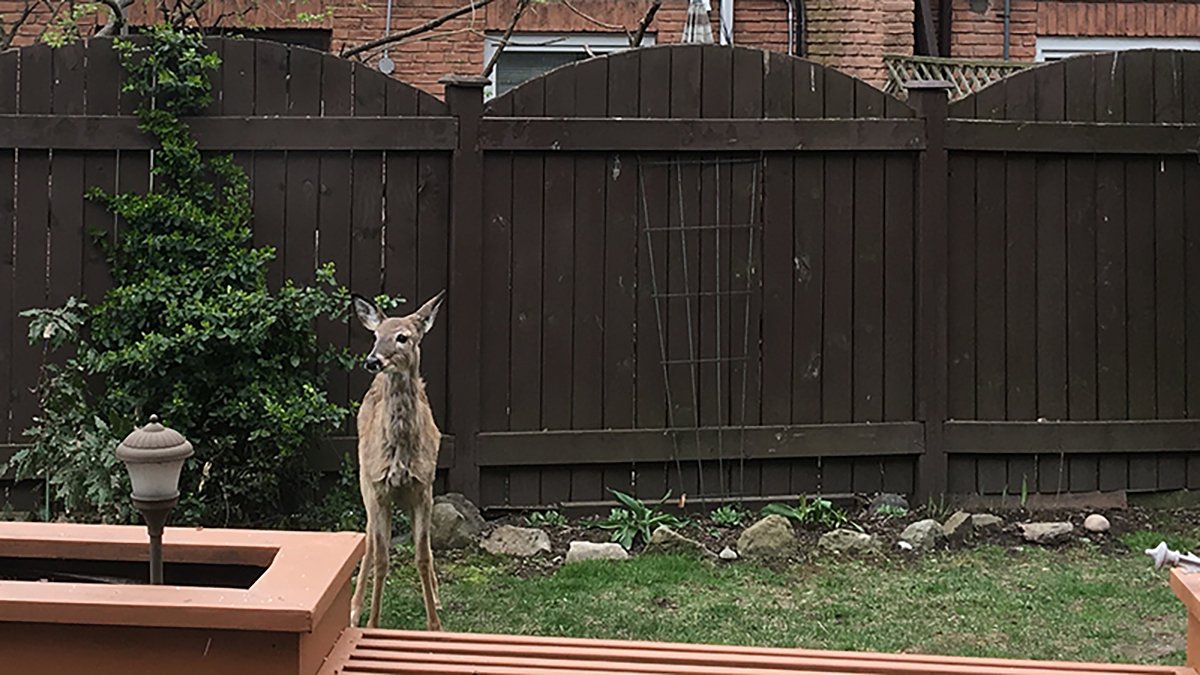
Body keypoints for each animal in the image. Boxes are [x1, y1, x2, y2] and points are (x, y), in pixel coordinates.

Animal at [349, 290, 446, 631]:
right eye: (375, 336)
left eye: (403, 337)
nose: (372, 361)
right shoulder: (378, 489)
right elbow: (381, 558)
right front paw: (372, 623)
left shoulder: (423, 489)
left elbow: (422, 555)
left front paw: (435, 624)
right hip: (364, 484)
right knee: (368, 539)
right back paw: (354, 609)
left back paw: (437, 597)